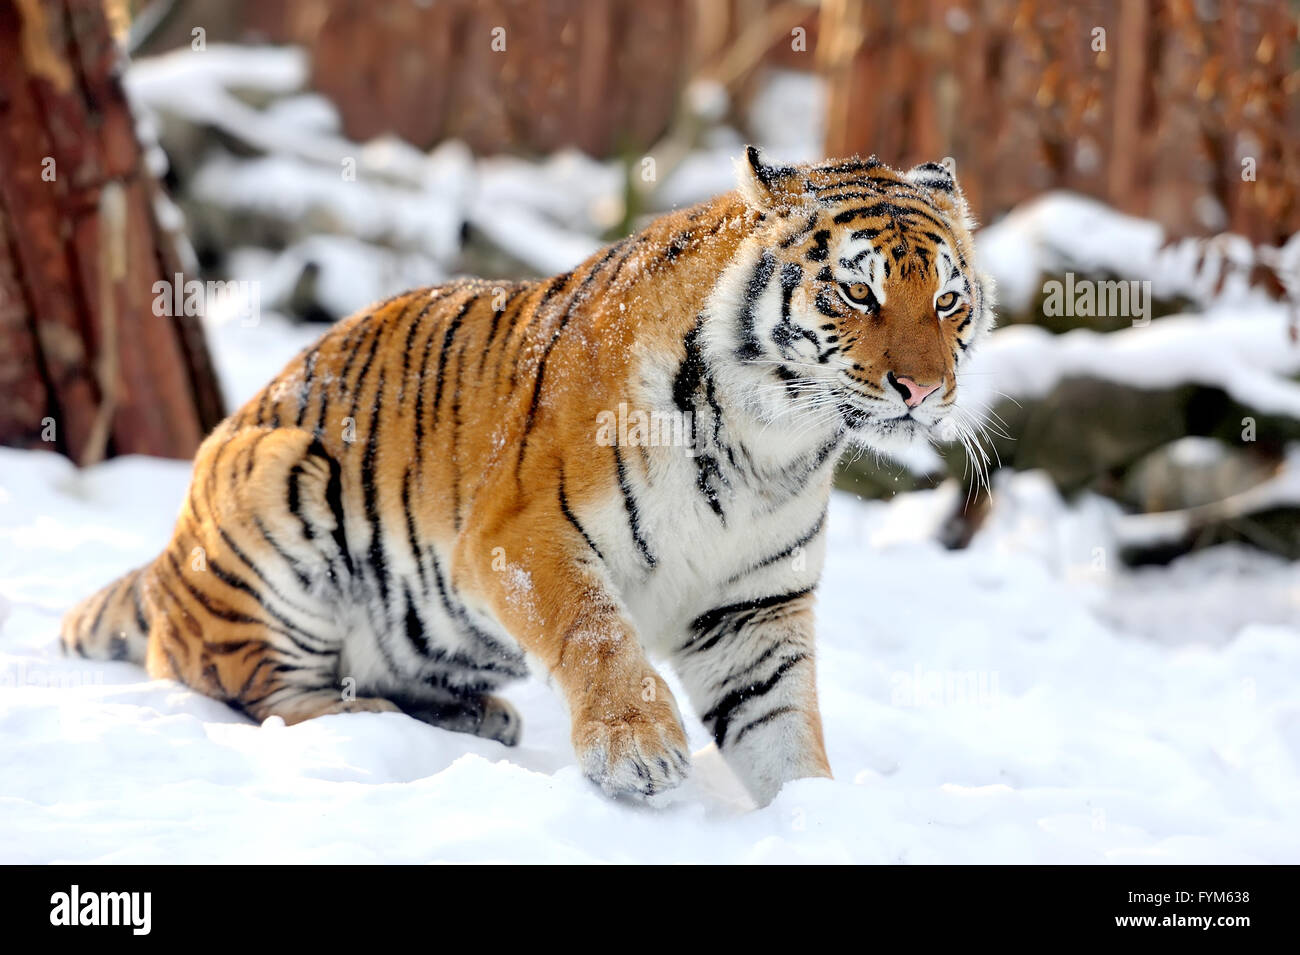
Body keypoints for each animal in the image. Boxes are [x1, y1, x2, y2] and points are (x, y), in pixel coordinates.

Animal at [62, 147, 994, 806]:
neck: (775, 446)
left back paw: (474, 713)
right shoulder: (524, 534)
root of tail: (167, 557)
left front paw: (813, 818)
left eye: (948, 301)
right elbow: (596, 631)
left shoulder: (752, 606)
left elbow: (783, 729)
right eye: (857, 293)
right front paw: (637, 746)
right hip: (281, 486)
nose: (923, 390)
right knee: (249, 682)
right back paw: (365, 720)